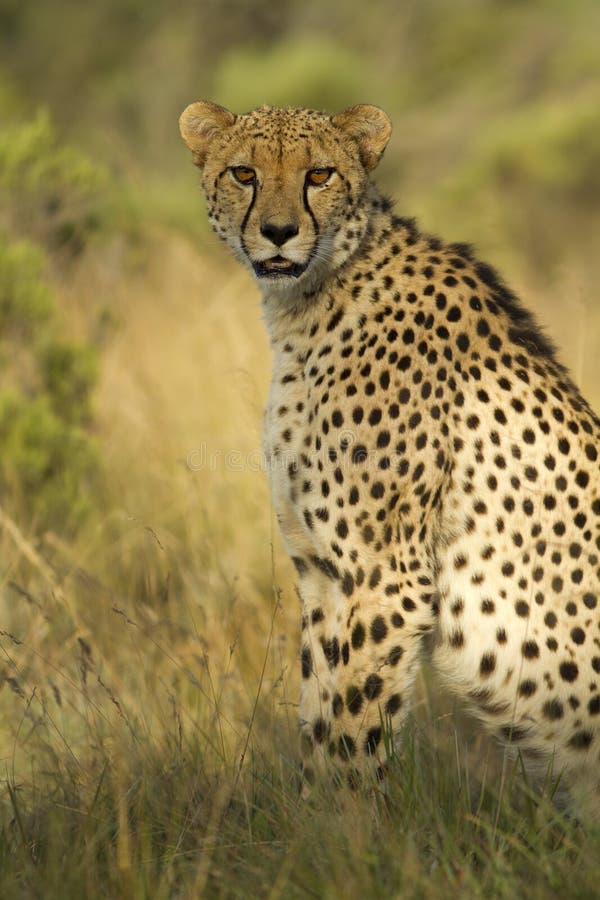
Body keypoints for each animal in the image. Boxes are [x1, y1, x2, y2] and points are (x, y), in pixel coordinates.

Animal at [179, 100, 600, 813]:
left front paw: (350, 828)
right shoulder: (322, 576)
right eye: (244, 173)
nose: (278, 233)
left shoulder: (384, 578)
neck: (314, 303)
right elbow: (318, 721)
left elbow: (354, 732)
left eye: (319, 174)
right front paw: (314, 829)